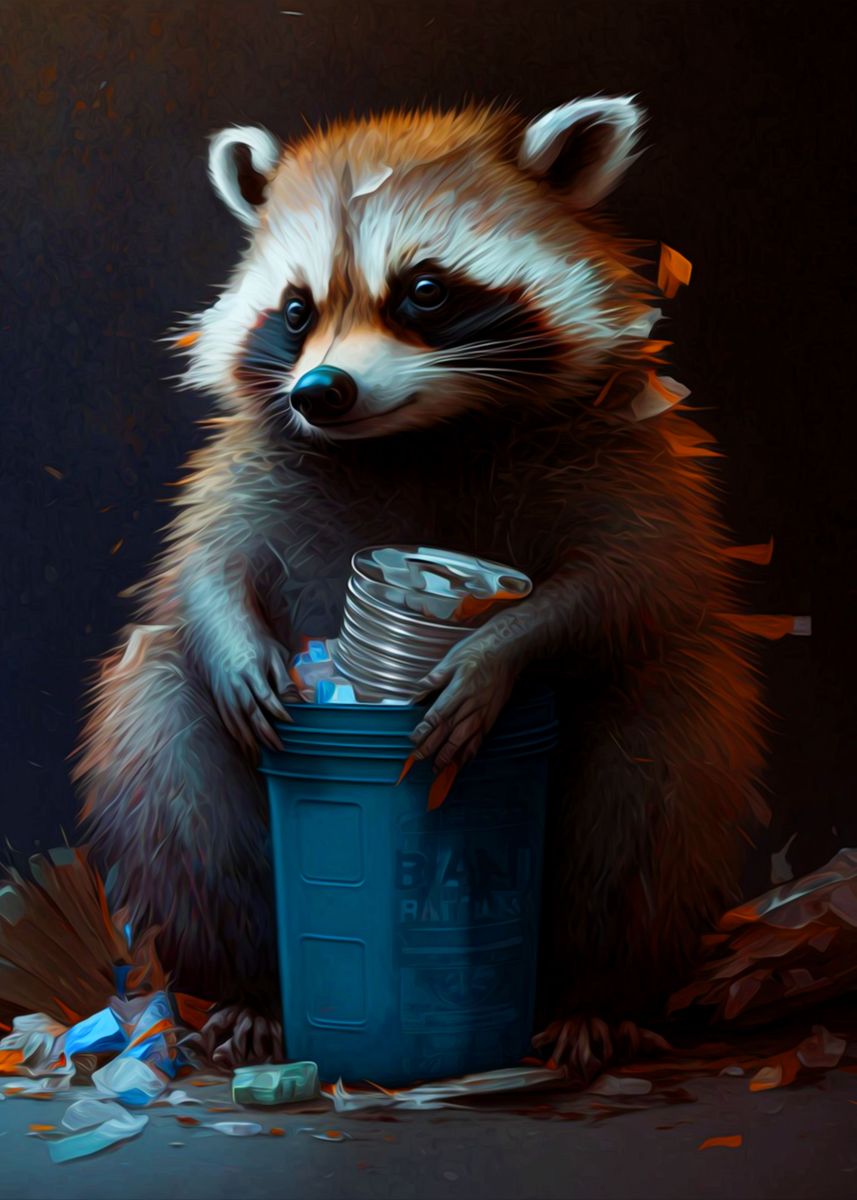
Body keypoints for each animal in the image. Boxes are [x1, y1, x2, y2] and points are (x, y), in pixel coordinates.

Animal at [73, 97, 766, 1073]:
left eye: (426, 290)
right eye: (295, 309)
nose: (321, 391)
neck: (416, 436)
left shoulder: (625, 449)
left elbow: (625, 580)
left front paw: (498, 650)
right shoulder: (253, 463)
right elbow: (205, 566)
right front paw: (239, 647)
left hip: (670, 745)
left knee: (654, 781)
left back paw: (595, 996)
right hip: (172, 777)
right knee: (170, 765)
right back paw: (249, 990)